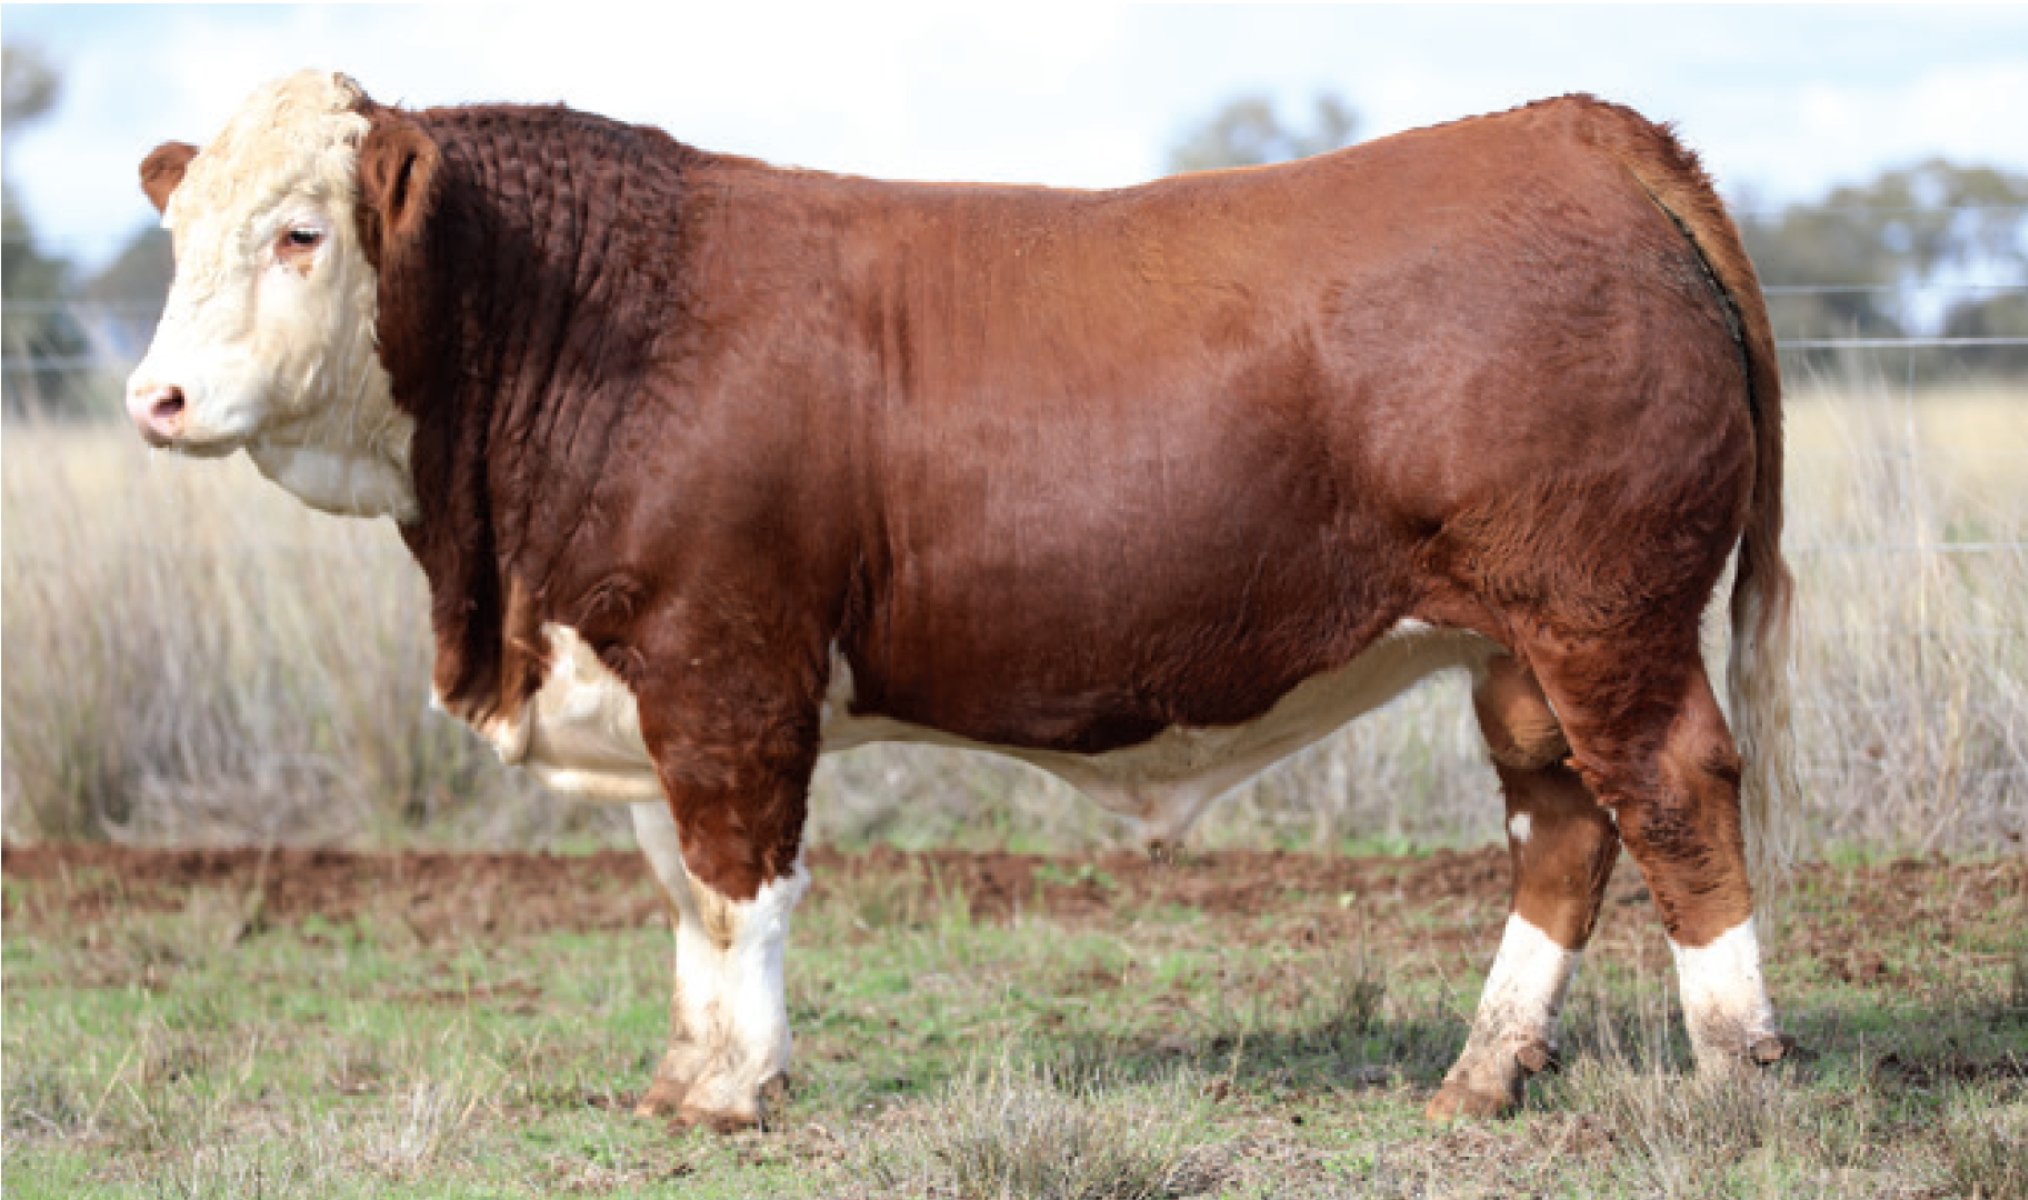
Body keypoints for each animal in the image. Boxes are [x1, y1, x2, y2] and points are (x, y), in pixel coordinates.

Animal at [127, 71, 1798, 1129]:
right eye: (179, 232)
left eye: (299, 231)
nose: (158, 396)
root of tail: (1574, 133)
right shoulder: (634, 673)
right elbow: (677, 888)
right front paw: (681, 1078)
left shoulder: (727, 669)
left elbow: (738, 883)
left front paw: (734, 1093)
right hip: (1510, 643)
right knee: (1562, 823)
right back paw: (1483, 1073)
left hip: (1607, 614)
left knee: (1674, 790)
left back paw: (1733, 1068)